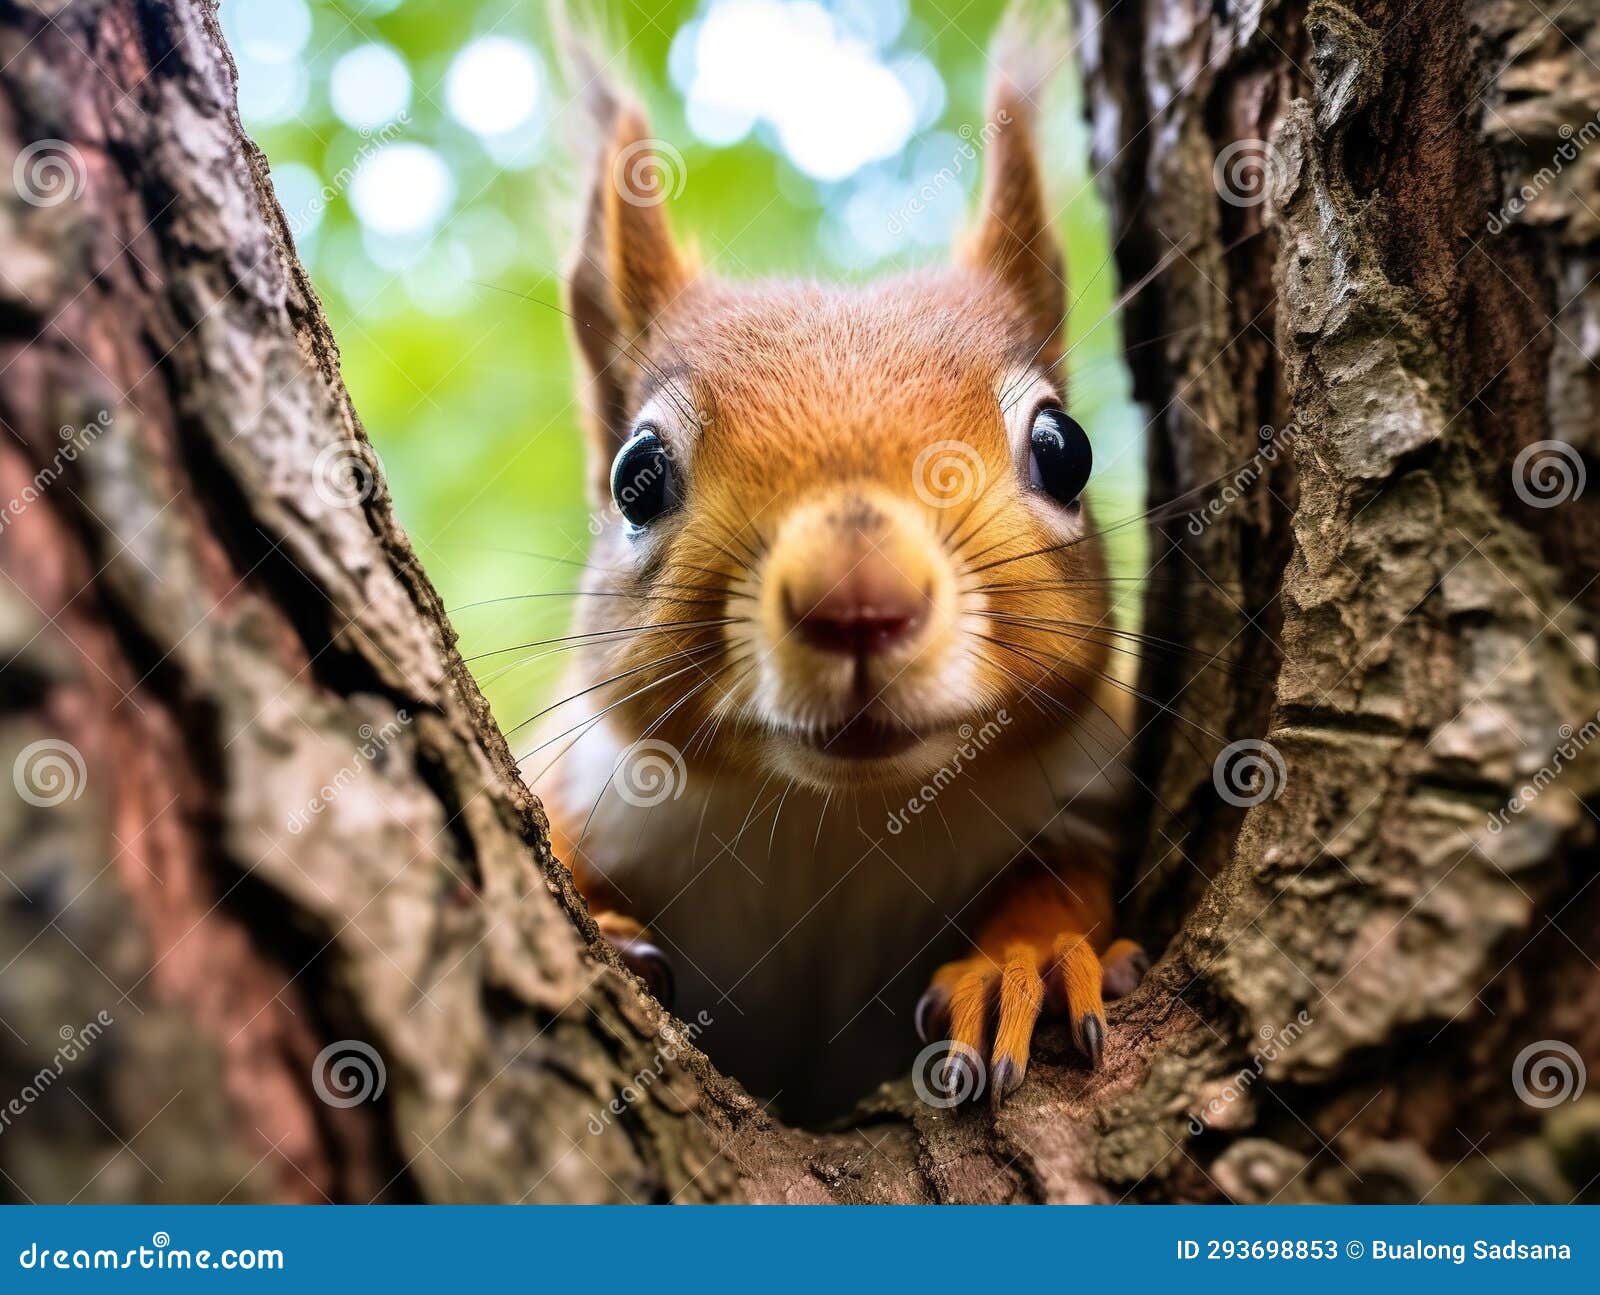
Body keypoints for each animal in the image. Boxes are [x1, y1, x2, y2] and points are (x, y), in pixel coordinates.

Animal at [534, 27, 1149, 1122]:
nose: (860, 602)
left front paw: (1025, 962)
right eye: (636, 476)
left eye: (1065, 450)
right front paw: (597, 920)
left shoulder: (1088, 780)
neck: (836, 821)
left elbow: (1066, 878)